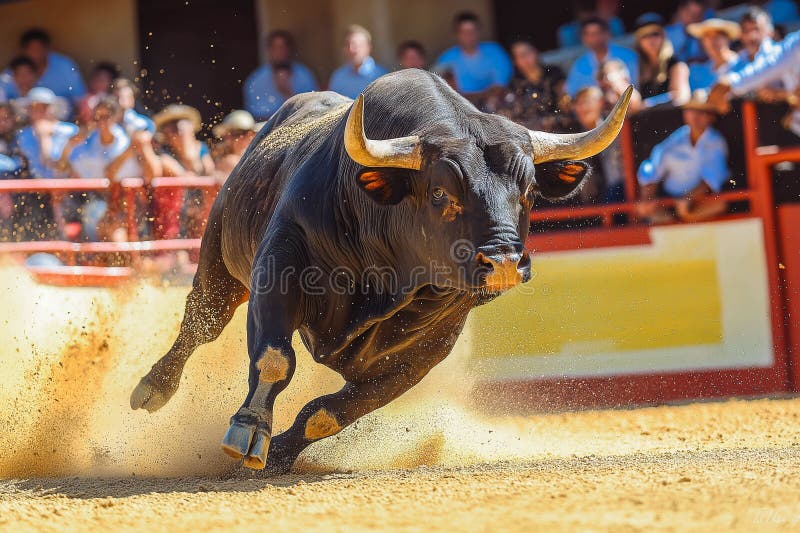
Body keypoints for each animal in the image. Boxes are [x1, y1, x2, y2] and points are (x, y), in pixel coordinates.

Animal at [130, 69, 631, 474]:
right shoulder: (278, 267)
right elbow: (274, 359)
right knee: (201, 324)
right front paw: (248, 430)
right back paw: (152, 387)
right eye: (440, 193)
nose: (504, 262)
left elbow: (329, 413)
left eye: (528, 192)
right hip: (219, 263)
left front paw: (277, 455)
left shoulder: (423, 353)